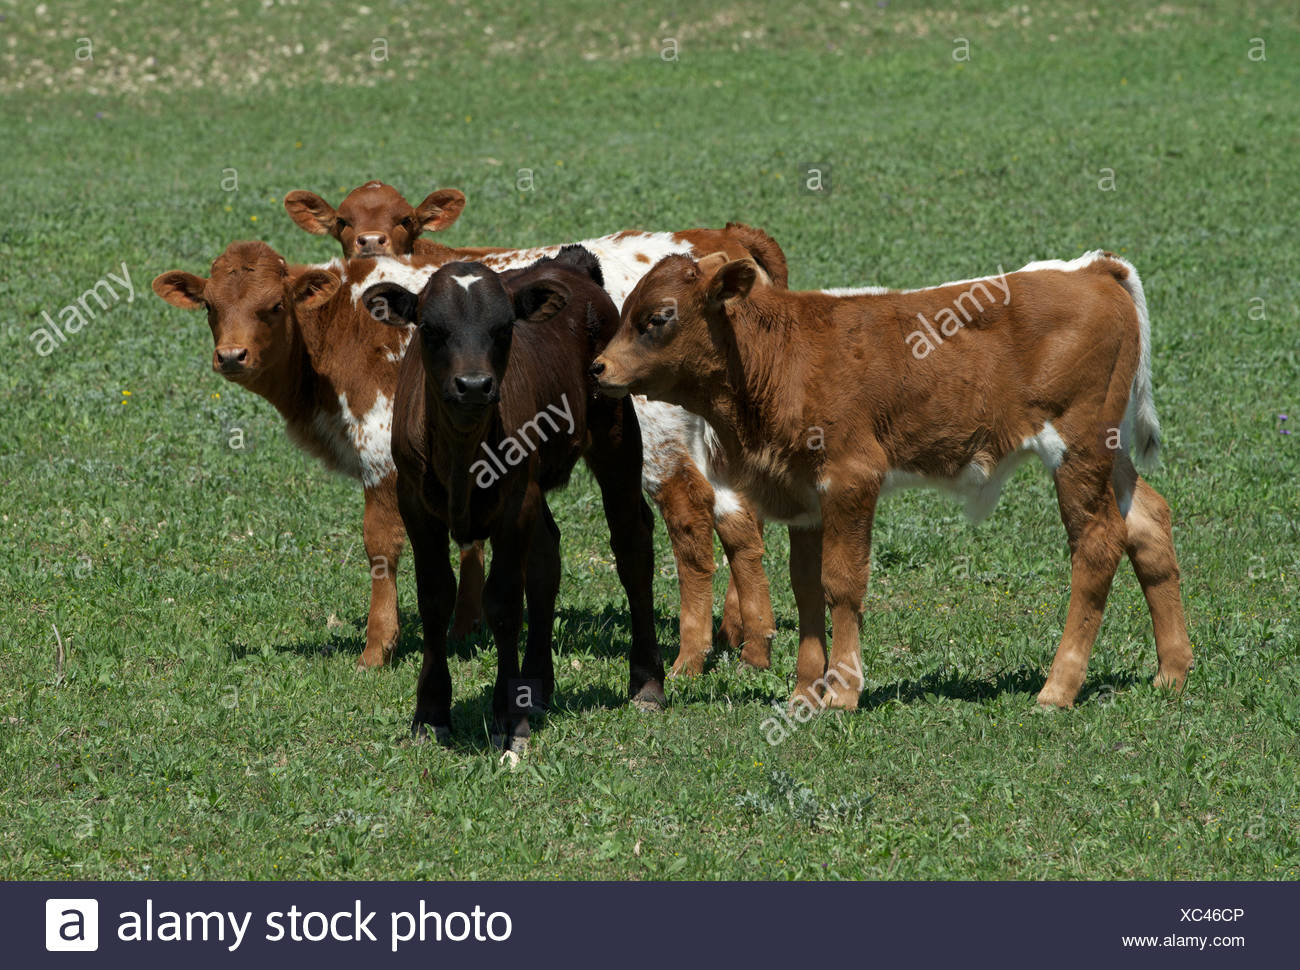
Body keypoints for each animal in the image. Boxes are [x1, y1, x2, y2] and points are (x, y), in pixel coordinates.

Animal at [361, 247, 662, 750]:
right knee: (546, 558)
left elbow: (502, 601)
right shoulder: (415, 504)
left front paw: (508, 717)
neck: (462, 453)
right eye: (430, 328)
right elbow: (435, 597)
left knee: (631, 546)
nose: (473, 385)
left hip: (616, 433)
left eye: (503, 329)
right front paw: (431, 712)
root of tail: (570, 264)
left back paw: (647, 682)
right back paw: (536, 686)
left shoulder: (514, 504)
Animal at [591, 248, 1195, 712]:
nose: (597, 368)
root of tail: (1090, 267)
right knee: (1148, 523)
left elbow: (842, 583)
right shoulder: (804, 495)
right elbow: (806, 589)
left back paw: (1058, 688)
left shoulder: (852, 478)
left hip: (1080, 449)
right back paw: (1171, 672)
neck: (778, 358)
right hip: (1111, 453)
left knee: (1097, 543)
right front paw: (804, 691)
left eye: (658, 317)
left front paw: (842, 692)